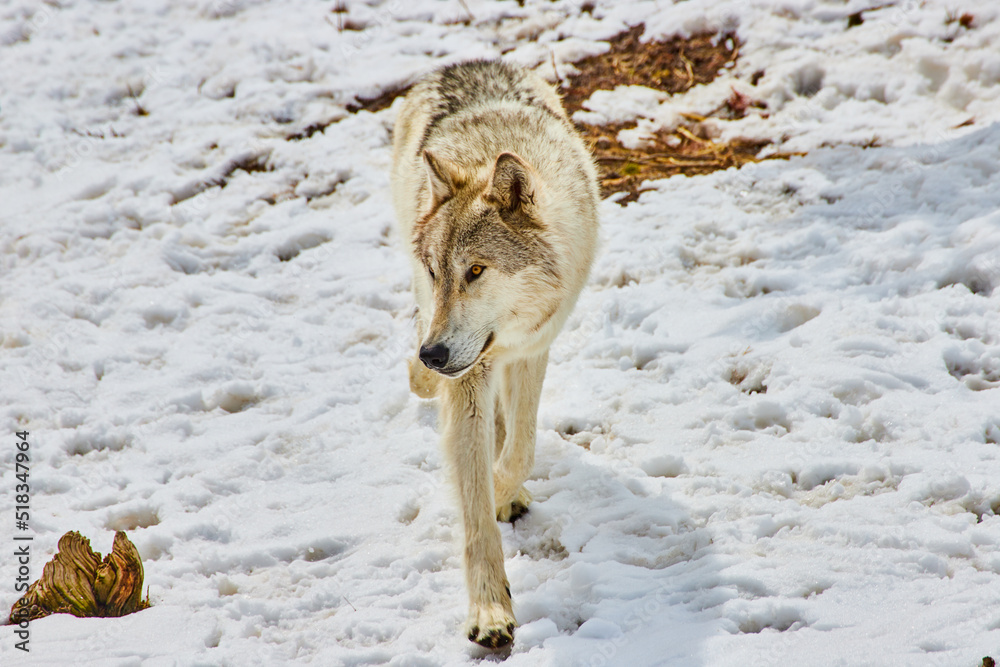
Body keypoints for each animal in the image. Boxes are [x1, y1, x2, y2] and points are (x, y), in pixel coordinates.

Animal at [391, 60, 599, 648]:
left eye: (476, 270)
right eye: (438, 270)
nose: (433, 355)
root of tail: (461, 63)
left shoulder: (533, 347)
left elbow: (518, 452)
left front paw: (505, 488)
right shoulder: (467, 372)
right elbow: (475, 504)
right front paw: (489, 611)